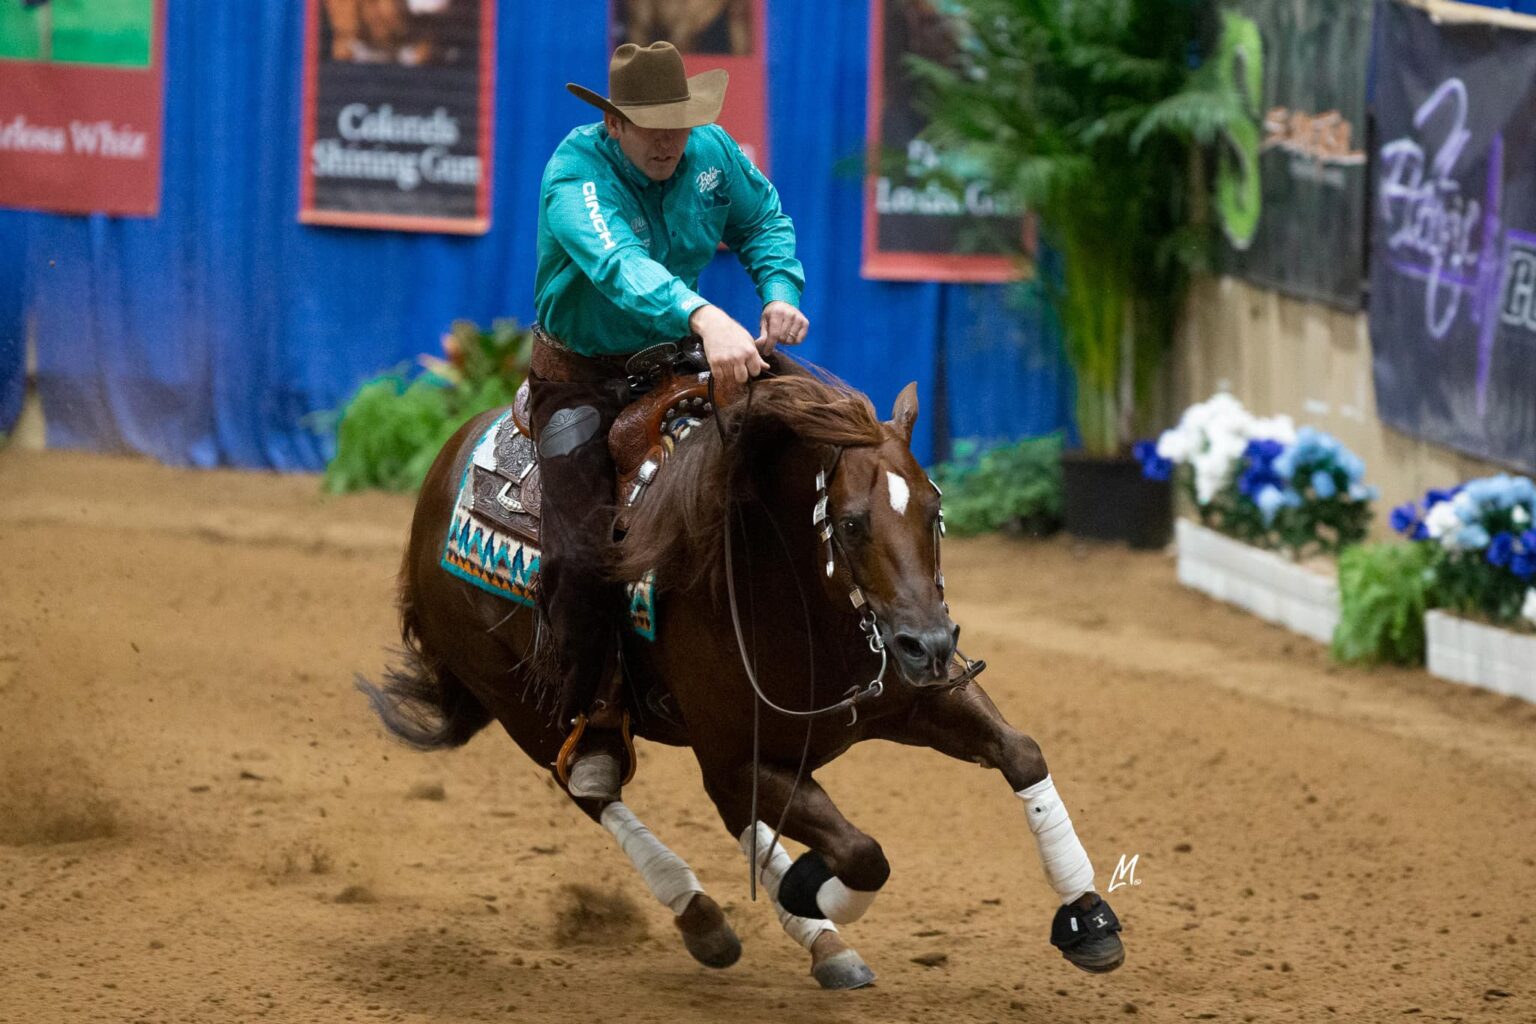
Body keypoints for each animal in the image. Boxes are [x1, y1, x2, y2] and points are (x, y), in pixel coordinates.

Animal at [359, 357, 1126, 988]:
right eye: (851, 523)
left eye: (935, 510)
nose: (931, 645)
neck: (803, 601)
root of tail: (440, 474)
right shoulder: (738, 753)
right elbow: (863, 852)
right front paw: (807, 889)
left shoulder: (908, 703)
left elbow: (1021, 752)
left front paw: (1088, 918)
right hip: (526, 706)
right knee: (591, 787)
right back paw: (707, 917)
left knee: (726, 819)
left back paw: (824, 944)